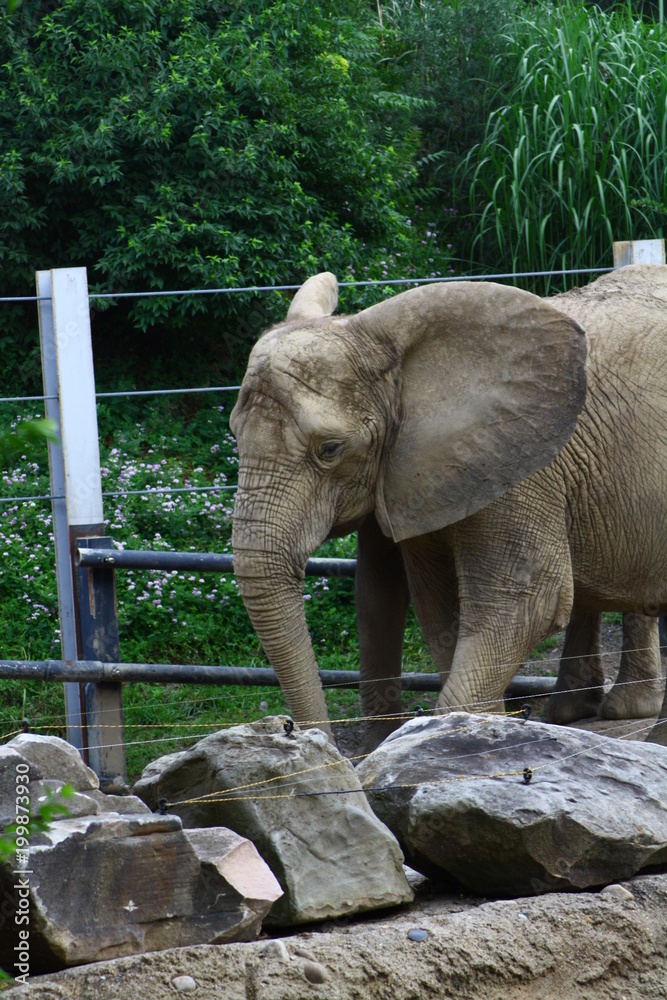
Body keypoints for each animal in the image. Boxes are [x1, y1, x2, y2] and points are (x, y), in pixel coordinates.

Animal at [230, 266, 667, 745]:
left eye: (329, 449)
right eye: (234, 436)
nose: (296, 733)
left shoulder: (518, 464)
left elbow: (528, 599)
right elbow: (435, 606)